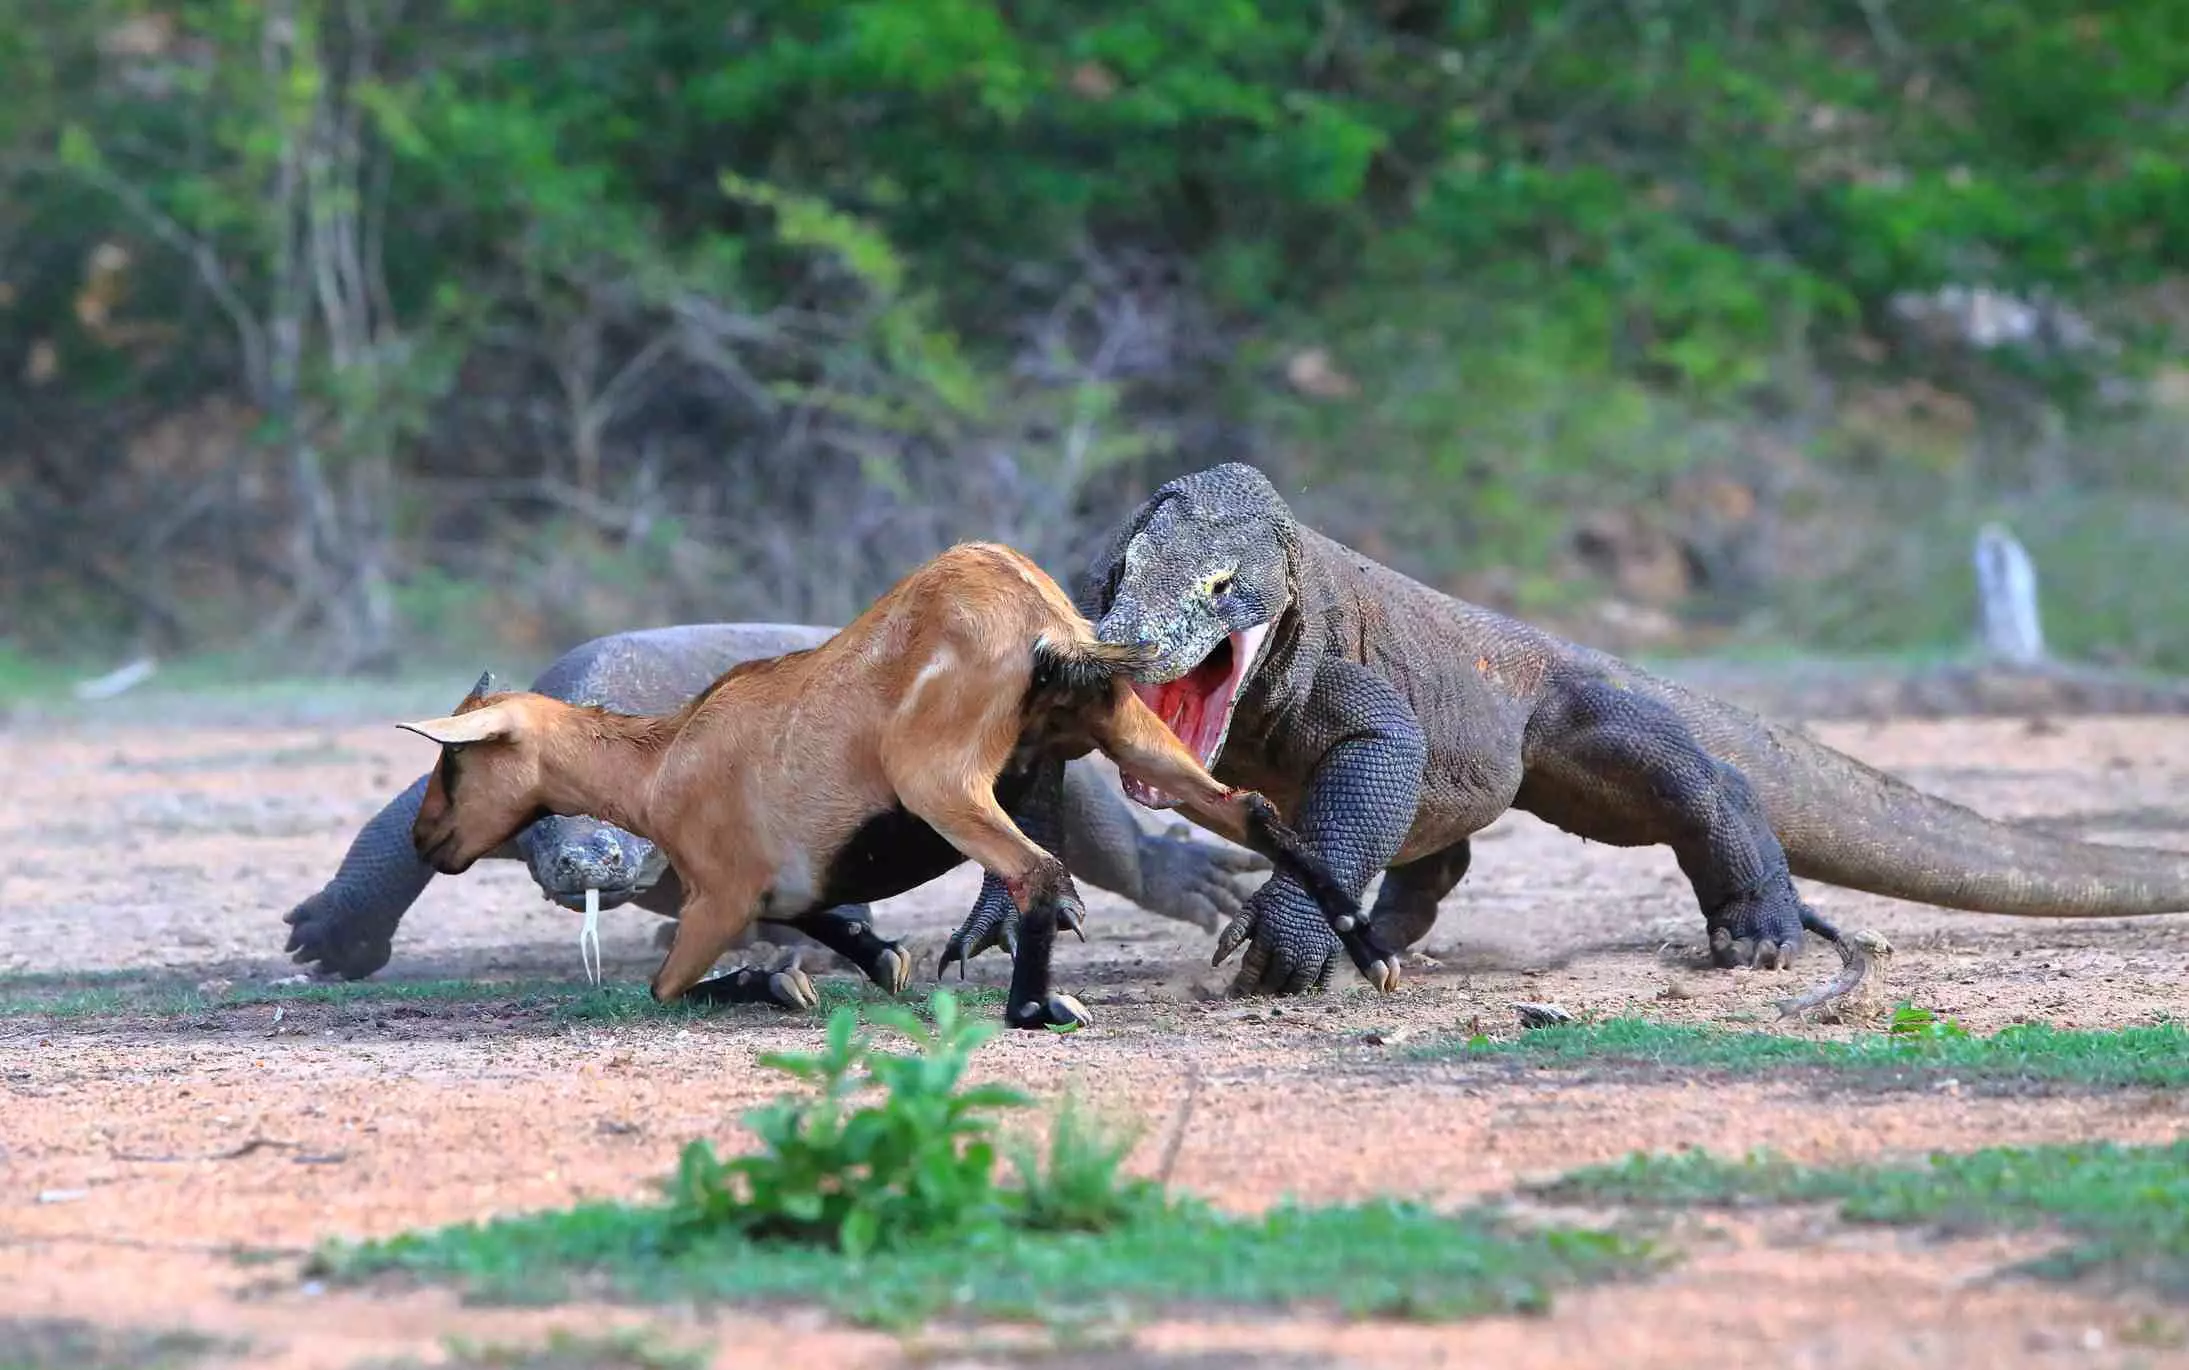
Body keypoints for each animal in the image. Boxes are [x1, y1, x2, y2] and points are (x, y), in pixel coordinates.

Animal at [391, 538, 1348, 1028]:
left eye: (454, 757)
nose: (423, 837)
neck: (663, 760)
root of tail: (1043, 623)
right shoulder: (794, 879)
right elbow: (828, 917)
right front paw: (880, 958)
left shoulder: (718, 896)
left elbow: (670, 984)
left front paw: (784, 984)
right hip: (1132, 737)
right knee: (1250, 811)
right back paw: (1364, 952)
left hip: (944, 782)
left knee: (1038, 870)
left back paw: (1035, 1009)